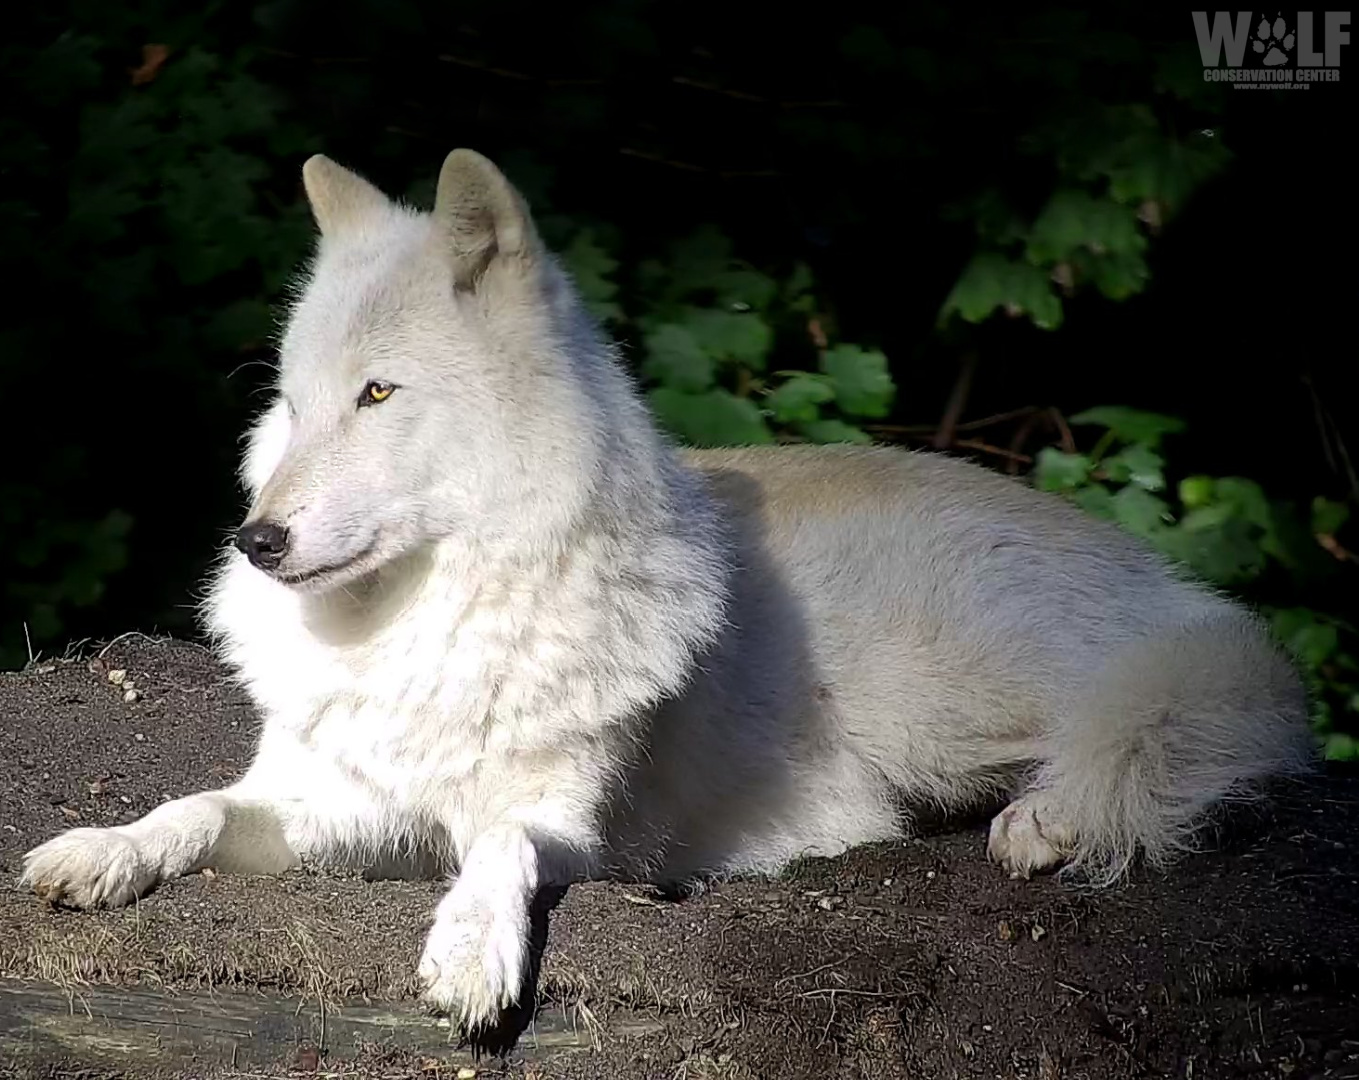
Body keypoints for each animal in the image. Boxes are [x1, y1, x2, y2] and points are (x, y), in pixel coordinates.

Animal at [22, 148, 1313, 1033]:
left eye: (378, 395)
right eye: (290, 404)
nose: (257, 538)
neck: (434, 624)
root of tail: (1164, 578)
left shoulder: (584, 829)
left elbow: (504, 844)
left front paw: (472, 952)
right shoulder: (332, 800)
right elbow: (192, 807)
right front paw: (103, 851)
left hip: (955, 699)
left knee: (1163, 730)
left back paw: (1050, 819)